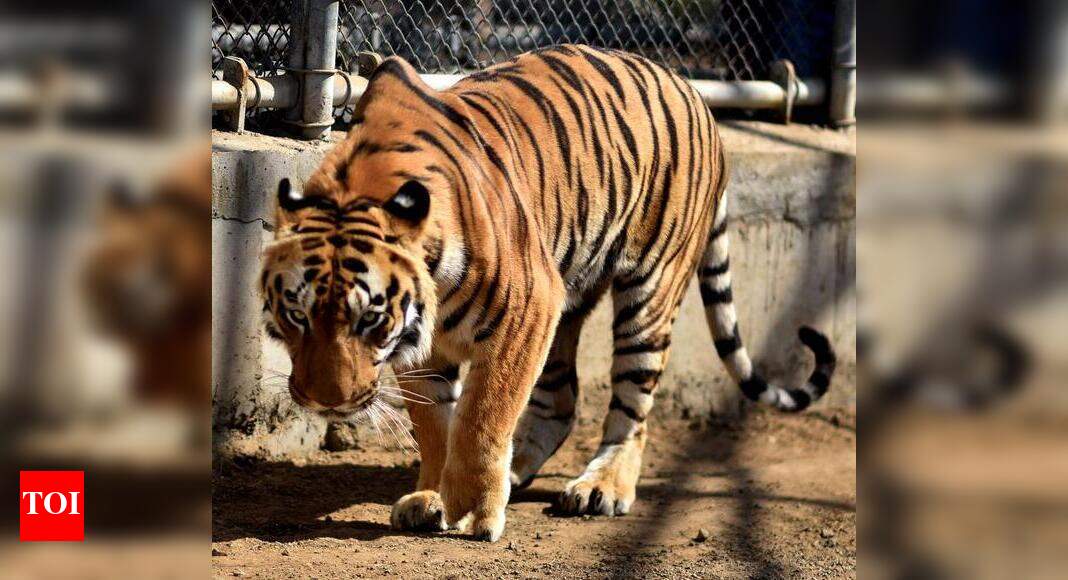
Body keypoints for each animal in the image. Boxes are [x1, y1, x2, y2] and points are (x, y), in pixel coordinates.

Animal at [259, 45, 836, 541]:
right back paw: (518, 470)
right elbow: (435, 422)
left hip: (648, 292)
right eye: (298, 316)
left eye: (368, 320)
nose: (326, 402)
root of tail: (699, 98)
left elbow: (482, 416)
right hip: (569, 297)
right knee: (561, 400)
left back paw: (601, 488)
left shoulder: (525, 308)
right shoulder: (434, 341)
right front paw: (433, 496)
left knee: (633, 408)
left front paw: (470, 506)